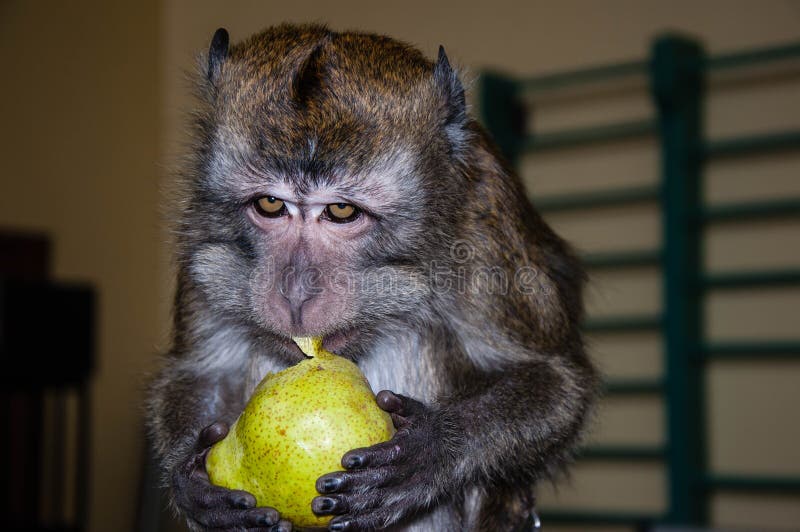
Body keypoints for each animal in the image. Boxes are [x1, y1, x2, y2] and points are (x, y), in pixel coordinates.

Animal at [146, 23, 598, 532]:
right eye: (270, 204)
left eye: (343, 211)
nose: (296, 294)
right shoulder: (199, 235)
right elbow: (203, 372)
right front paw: (195, 481)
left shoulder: (482, 220)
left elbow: (553, 381)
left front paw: (432, 449)